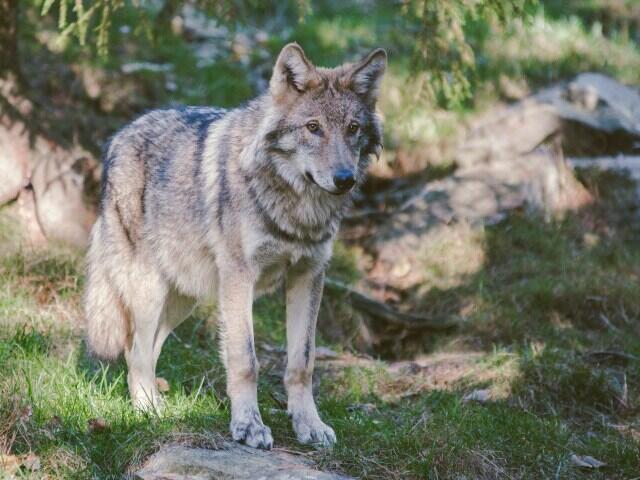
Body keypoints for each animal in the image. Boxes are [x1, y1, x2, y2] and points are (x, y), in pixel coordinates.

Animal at [83, 43, 386, 449]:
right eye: (313, 128)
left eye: (353, 128)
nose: (345, 179)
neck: (297, 209)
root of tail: (119, 136)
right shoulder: (240, 277)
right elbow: (245, 361)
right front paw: (248, 426)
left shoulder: (309, 276)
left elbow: (302, 363)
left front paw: (309, 425)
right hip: (149, 290)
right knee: (135, 351)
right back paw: (148, 411)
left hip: (183, 299)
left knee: (149, 348)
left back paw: (159, 405)